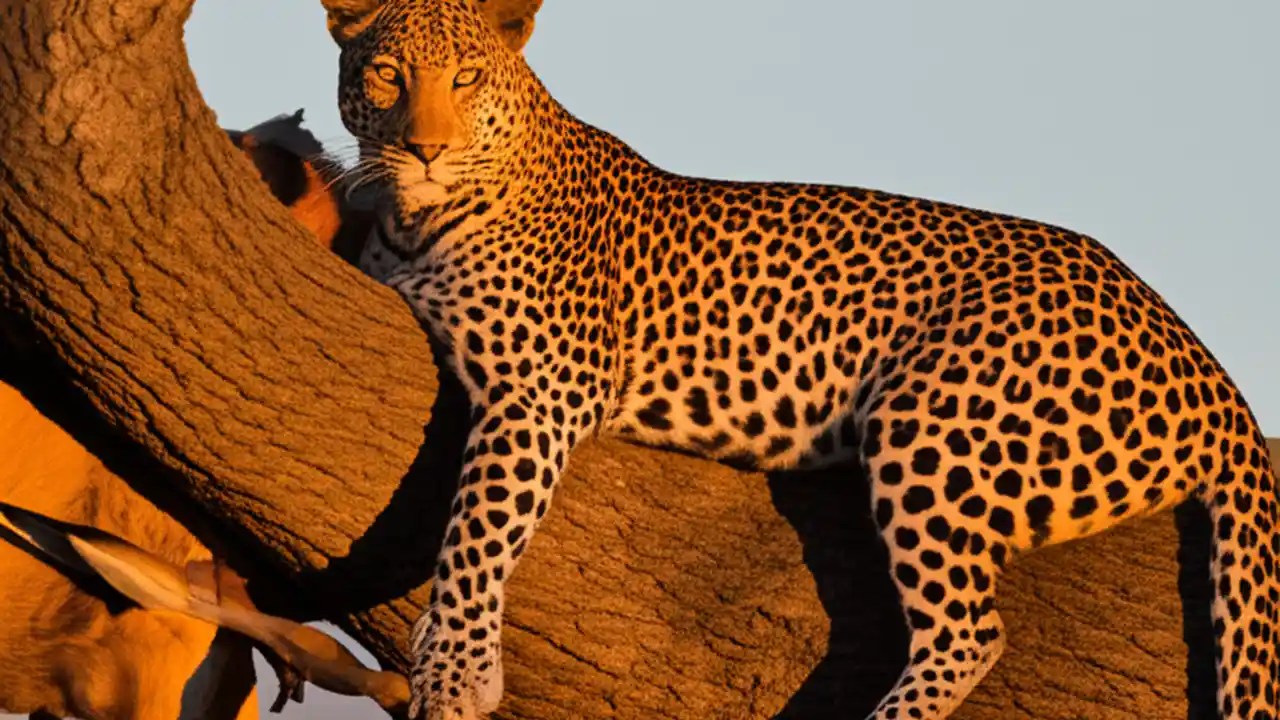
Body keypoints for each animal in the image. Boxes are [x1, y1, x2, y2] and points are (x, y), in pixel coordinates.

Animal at [319, 0, 1280, 718]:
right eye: (386, 74)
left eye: (466, 78)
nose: (425, 149)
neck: (415, 220)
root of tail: (1211, 370)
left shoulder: (543, 391)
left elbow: (477, 532)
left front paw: (456, 672)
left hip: (932, 421)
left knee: (970, 631)